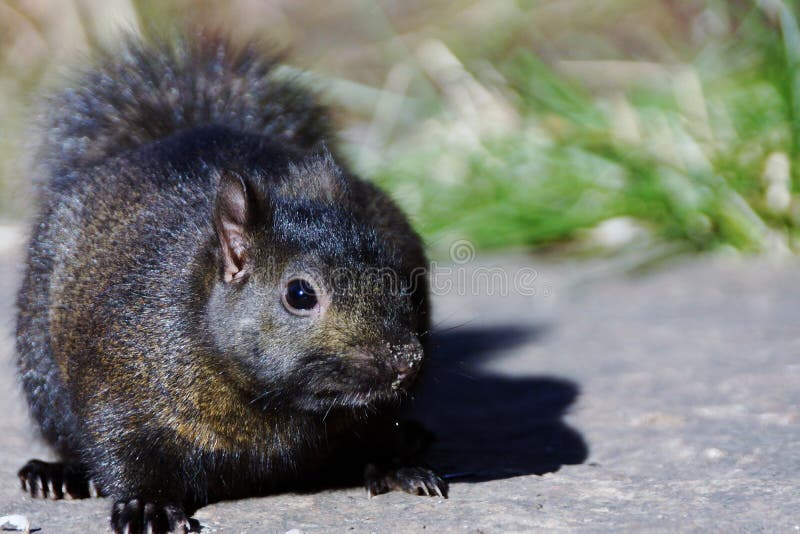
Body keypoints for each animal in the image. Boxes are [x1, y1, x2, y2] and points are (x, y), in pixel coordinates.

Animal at [15, 31, 446, 534]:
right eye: (300, 294)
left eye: (398, 272)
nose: (406, 361)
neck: (273, 402)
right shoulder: (119, 386)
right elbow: (124, 450)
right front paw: (146, 505)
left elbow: (376, 429)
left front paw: (397, 466)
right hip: (39, 367)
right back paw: (56, 473)